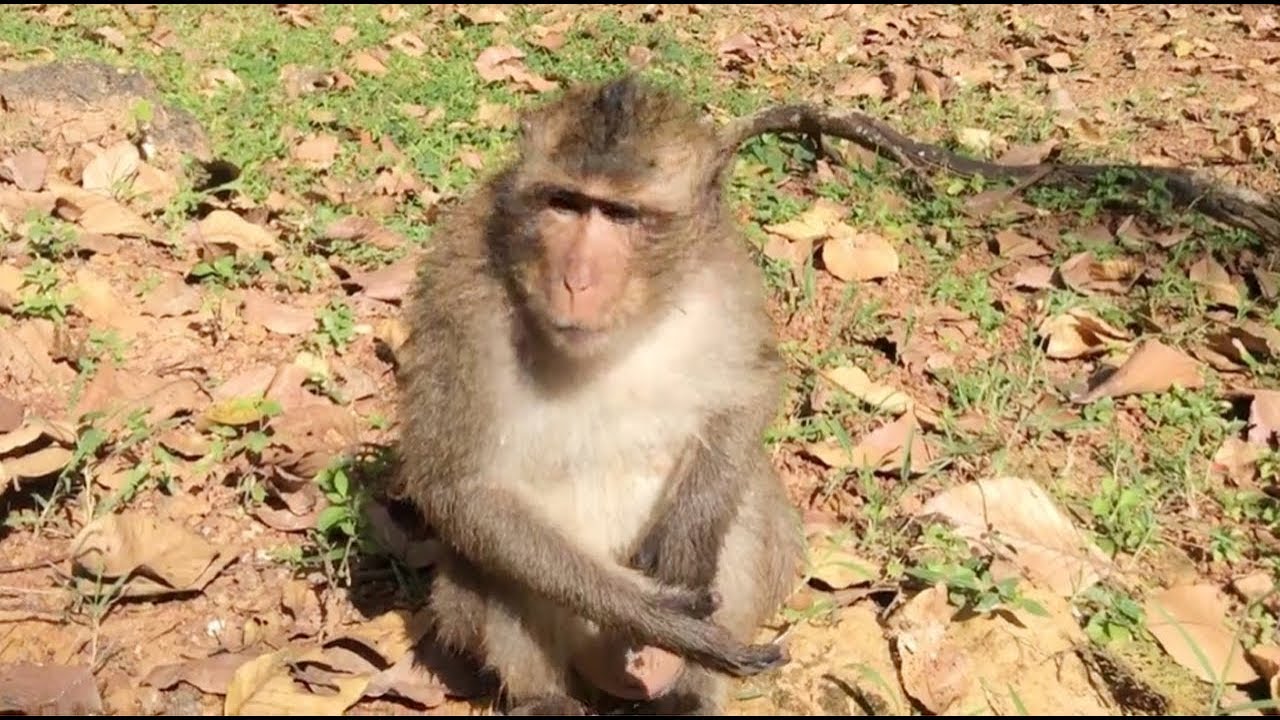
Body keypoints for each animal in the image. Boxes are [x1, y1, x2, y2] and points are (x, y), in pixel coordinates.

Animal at [394, 73, 805, 716]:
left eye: (620, 213)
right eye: (565, 203)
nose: (576, 280)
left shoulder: (723, 267)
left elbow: (750, 387)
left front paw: (687, 547)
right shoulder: (460, 289)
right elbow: (460, 490)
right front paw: (660, 619)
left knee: (749, 497)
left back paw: (689, 693)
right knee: (489, 558)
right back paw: (545, 696)